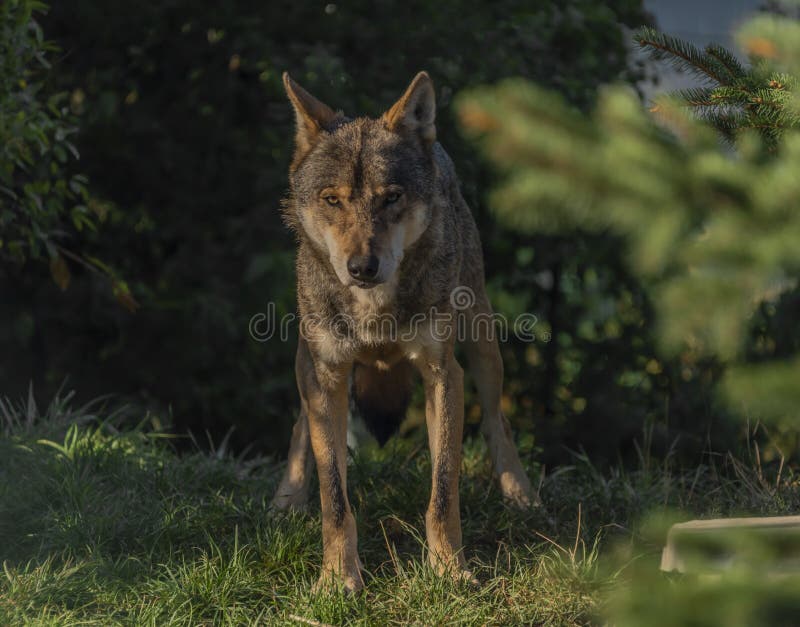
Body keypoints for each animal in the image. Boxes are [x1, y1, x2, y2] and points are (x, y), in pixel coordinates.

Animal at [271, 71, 536, 592]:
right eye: (332, 200)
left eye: (391, 197)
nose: (361, 267)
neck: (375, 314)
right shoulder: (325, 374)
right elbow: (335, 495)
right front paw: (337, 579)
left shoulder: (444, 375)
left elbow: (443, 490)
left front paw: (449, 569)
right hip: (305, 360)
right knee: (300, 425)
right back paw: (287, 500)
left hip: (481, 343)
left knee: (498, 422)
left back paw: (519, 493)